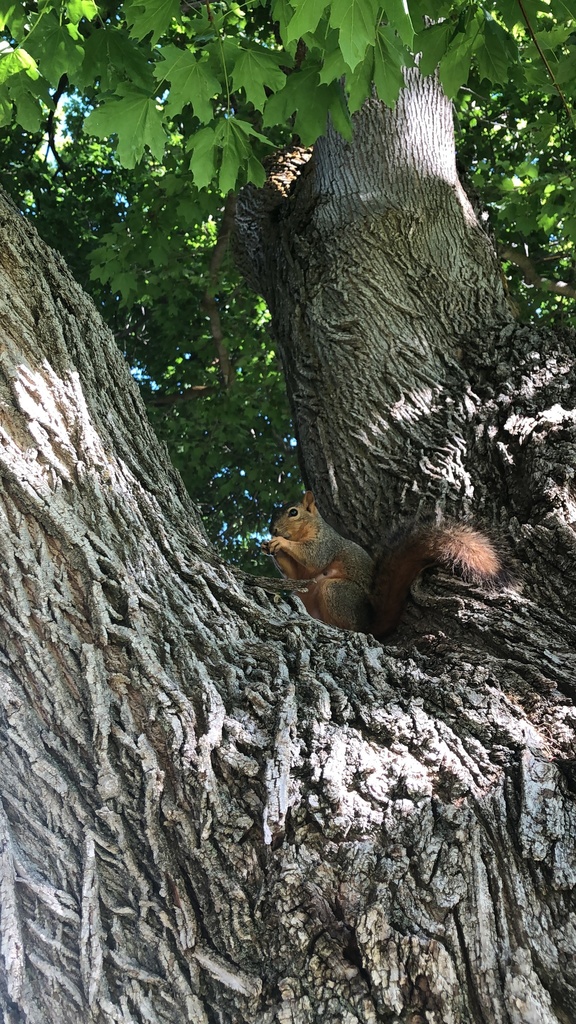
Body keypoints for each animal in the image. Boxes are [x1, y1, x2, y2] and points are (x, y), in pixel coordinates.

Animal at [261, 491, 508, 638]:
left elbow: (313, 558)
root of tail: (371, 624)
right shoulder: (299, 571)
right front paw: (269, 547)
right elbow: (296, 575)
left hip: (336, 591)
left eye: (293, 512)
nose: (273, 529)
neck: (305, 530)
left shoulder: (325, 542)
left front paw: (280, 543)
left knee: (353, 627)